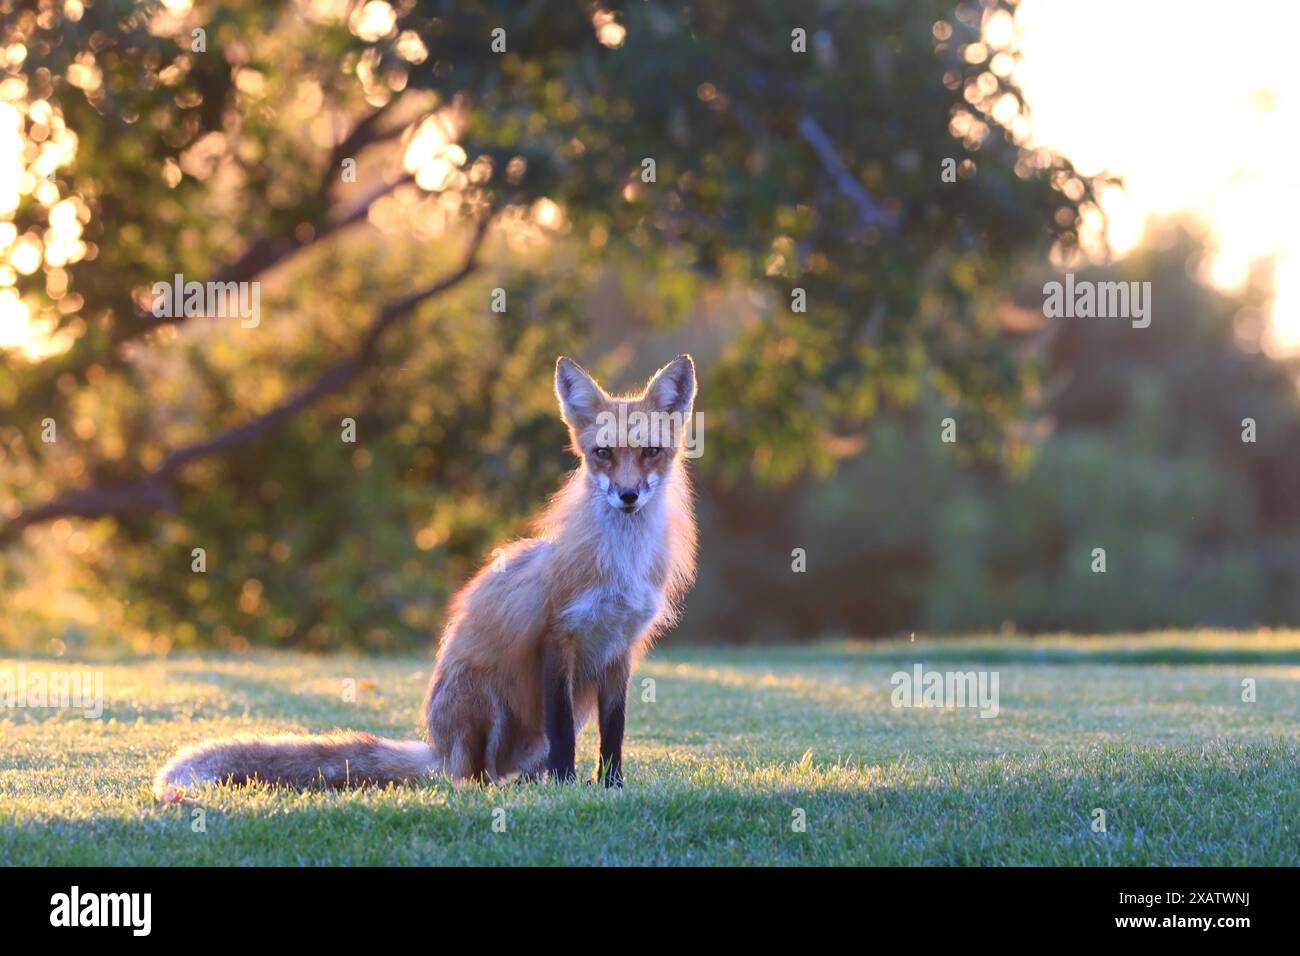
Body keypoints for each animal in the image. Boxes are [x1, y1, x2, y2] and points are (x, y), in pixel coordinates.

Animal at [154, 354, 698, 801]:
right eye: (603, 453)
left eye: (650, 451)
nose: (627, 495)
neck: (619, 567)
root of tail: (436, 749)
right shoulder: (556, 636)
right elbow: (563, 730)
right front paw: (567, 787)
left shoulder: (620, 648)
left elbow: (615, 732)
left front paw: (612, 786)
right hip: (482, 694)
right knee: (475, 776)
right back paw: (507, 785)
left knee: (512, 770)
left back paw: (531, 782)